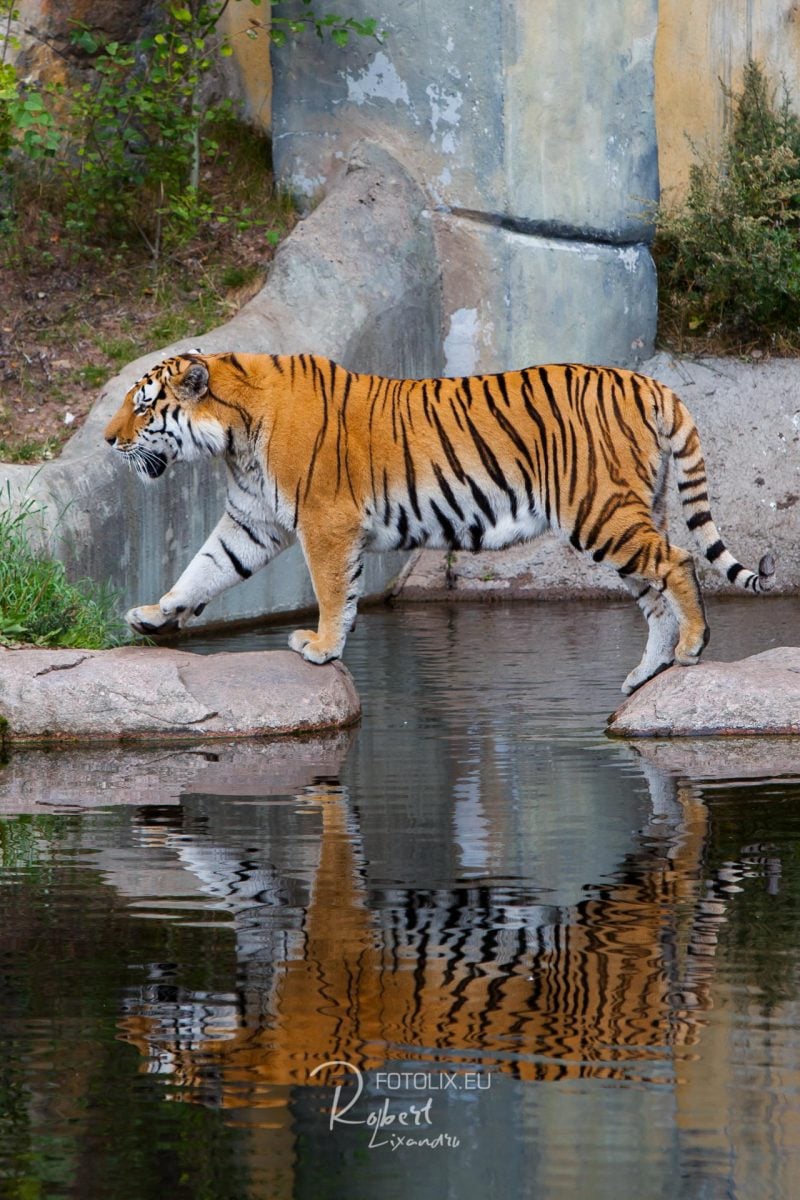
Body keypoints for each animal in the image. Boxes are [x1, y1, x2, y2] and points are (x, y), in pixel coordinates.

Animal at [103, 351, 775, 694]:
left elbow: (331, 591)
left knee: (678, 561)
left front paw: (320, 647)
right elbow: (204, 568)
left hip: (600, 512)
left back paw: (692, 646)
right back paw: (645, 674)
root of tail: (648, 381)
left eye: (142, 406)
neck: (234, 438)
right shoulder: (253, 521)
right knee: (656, 591)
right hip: (625, 516)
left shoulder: (325, 522)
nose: (109, 440)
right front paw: (153, 615)